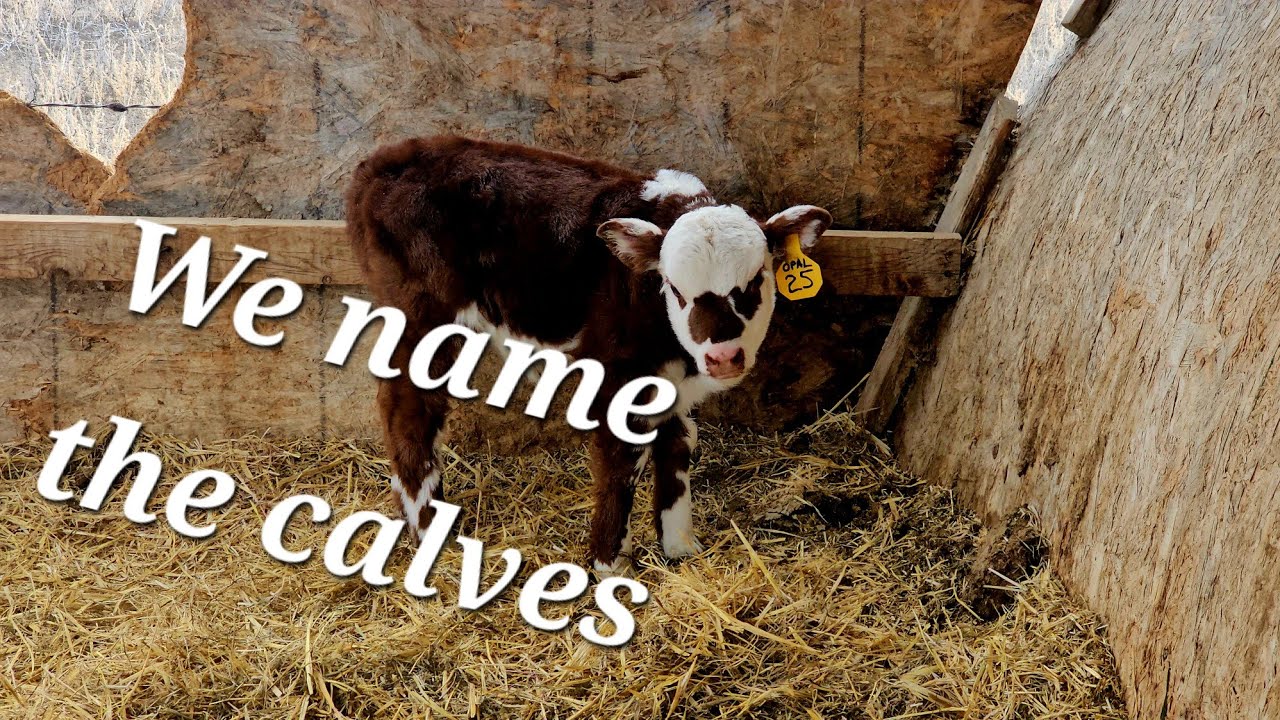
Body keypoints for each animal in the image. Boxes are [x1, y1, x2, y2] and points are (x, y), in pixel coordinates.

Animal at [345, 135, 831, 574]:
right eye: (674, 288)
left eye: (755, 280)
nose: (723, 356)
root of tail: (384, 161)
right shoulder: (619, 375)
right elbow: (621, 459)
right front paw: (609, 564)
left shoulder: (670, 380)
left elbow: (677, 444)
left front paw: (679, 546)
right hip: (422, 316)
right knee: (409, 408)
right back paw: (429, 527)